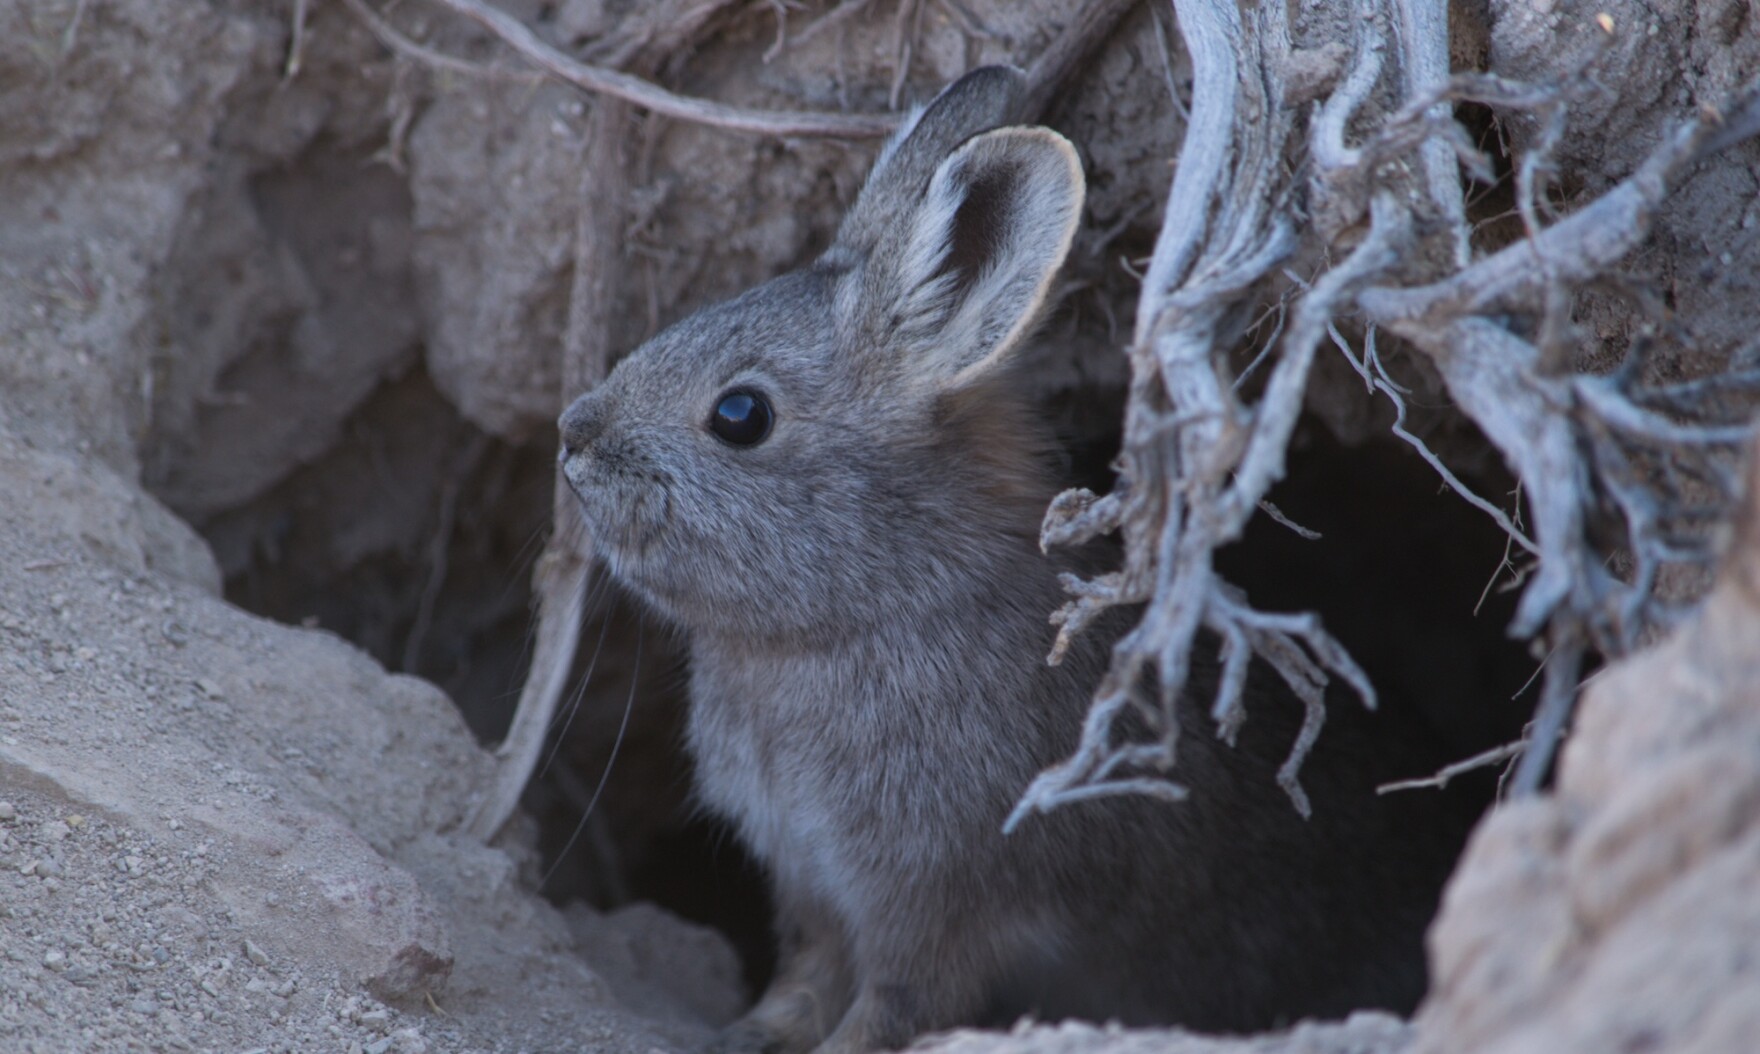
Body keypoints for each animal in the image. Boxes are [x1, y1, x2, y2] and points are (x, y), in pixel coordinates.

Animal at [559, 66, 1463, 1054]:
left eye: (740, 415)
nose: (574, 440)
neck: (871, 606)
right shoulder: (813, 885)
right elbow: (804, 979)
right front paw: (749, 1033)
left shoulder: (935, 899)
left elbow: (896, 1005)